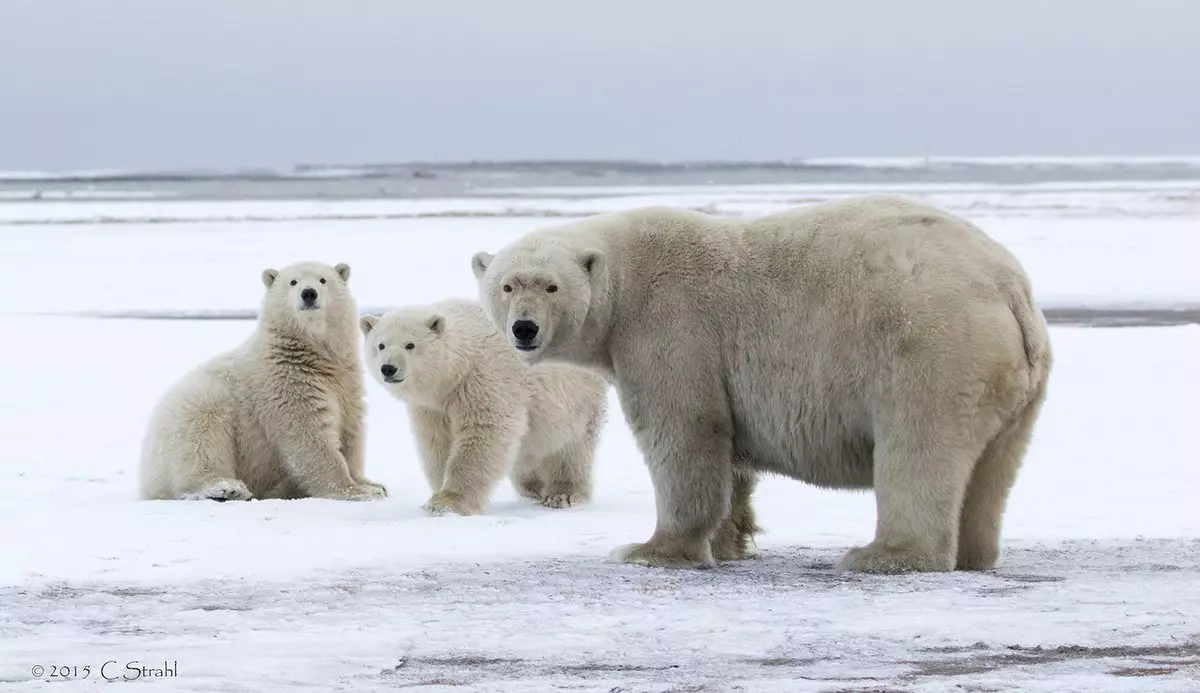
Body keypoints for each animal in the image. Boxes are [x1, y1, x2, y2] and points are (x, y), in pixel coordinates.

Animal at [138, 261, 386, 498]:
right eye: (293, 282)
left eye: (323, 279)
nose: (309, 293)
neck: (312, 353)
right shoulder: (286, 380)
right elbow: (308, 433)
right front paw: (355, 491)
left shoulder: (345, 377)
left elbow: (351, 428)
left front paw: (373, 485)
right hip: (193, 410)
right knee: (202, 440)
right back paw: (227, 488)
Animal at [360, 299, 609, 515]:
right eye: (380, 345)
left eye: (410, 345)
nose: (388, 368)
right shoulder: (432, 406)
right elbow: (437, 441)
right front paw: (440, 491)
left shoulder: (484, 380)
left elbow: (484, 434)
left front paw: (448, 502)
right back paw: (532, 487)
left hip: (577, 399)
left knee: (570, 447)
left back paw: (563, 494)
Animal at [468, 194, 1051, 570]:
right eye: (506, 285)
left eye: (550, 286)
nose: (524, 329)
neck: (625, 277)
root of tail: (1008, 286)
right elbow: (732, 459)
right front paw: (729, 540)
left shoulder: (672, 326)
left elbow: (684, 432)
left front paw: (651, 551)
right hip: (1015, 379)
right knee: (995, 466)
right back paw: (974, 555)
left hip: (932, 346)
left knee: (918, 446)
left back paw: (885, 556)